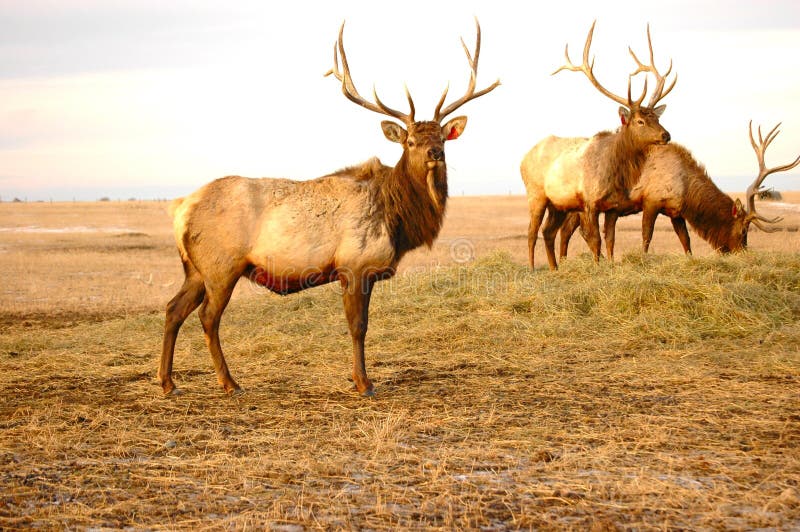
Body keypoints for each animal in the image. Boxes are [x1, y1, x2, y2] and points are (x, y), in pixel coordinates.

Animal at [158, 20, 499, 398]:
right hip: (222, 265)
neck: (398, 219)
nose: (435, 153)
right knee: (207, 317)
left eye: (441, 138)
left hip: (196, 269)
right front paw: (363, 383)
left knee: (173, 309)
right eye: (410, 141)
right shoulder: (354, 264)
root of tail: (181, 210)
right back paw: (229, 383)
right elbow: (358, 326)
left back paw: (168, 382)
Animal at [520, 21, 675, 270]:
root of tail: (522, 159)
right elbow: (595, 240)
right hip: (536, 193)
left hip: (558, 204)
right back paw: (534, 269)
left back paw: (555, 269)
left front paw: (609, 265)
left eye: (656, 117)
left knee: (548, 231)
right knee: (532, 232)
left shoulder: (613, 207)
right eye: (640, 121)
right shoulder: (589, 202)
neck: (614, 175)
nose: (666, 135)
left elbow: (610, 240)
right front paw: (596, 267)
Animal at [558, 121, 800, 257]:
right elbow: (647, 236)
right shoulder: (651, 201)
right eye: (743, 231)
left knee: (566, 231)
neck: (686, 188)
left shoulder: (675, 211)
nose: (743, 253)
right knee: (575, 232)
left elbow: (686, 240)